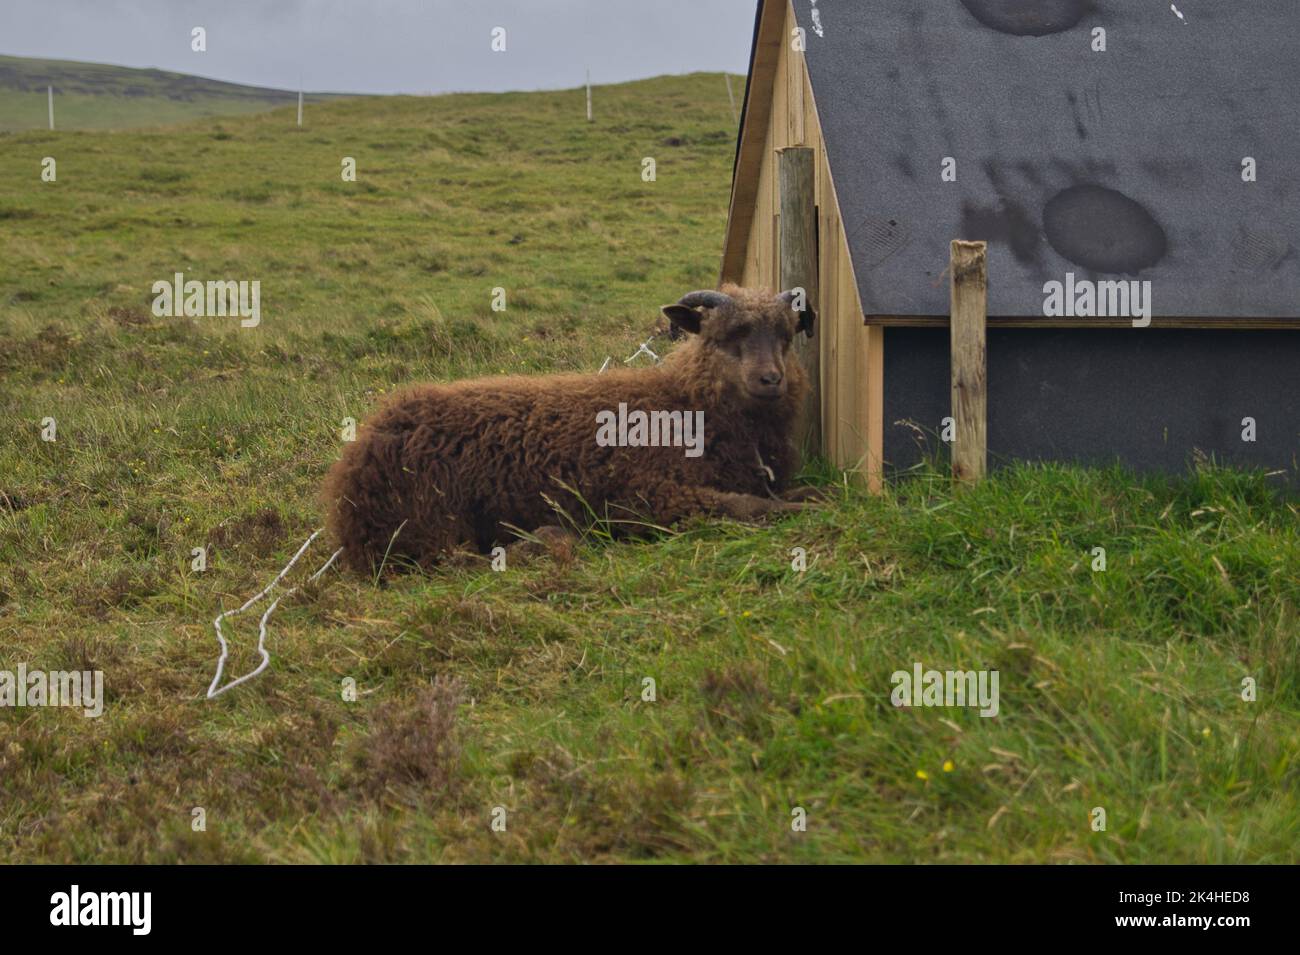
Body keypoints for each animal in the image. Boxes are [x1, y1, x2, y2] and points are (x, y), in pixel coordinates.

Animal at [321, 284, 819, 573]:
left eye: (786, 335)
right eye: (726, 336)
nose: (771, 380)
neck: (684, 403)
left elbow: (787, 493)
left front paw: (809, 496)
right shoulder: (644, 496)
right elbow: (747, 507)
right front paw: (804, 509)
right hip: (429, 520)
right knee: (449, 563)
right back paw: (544, 541)